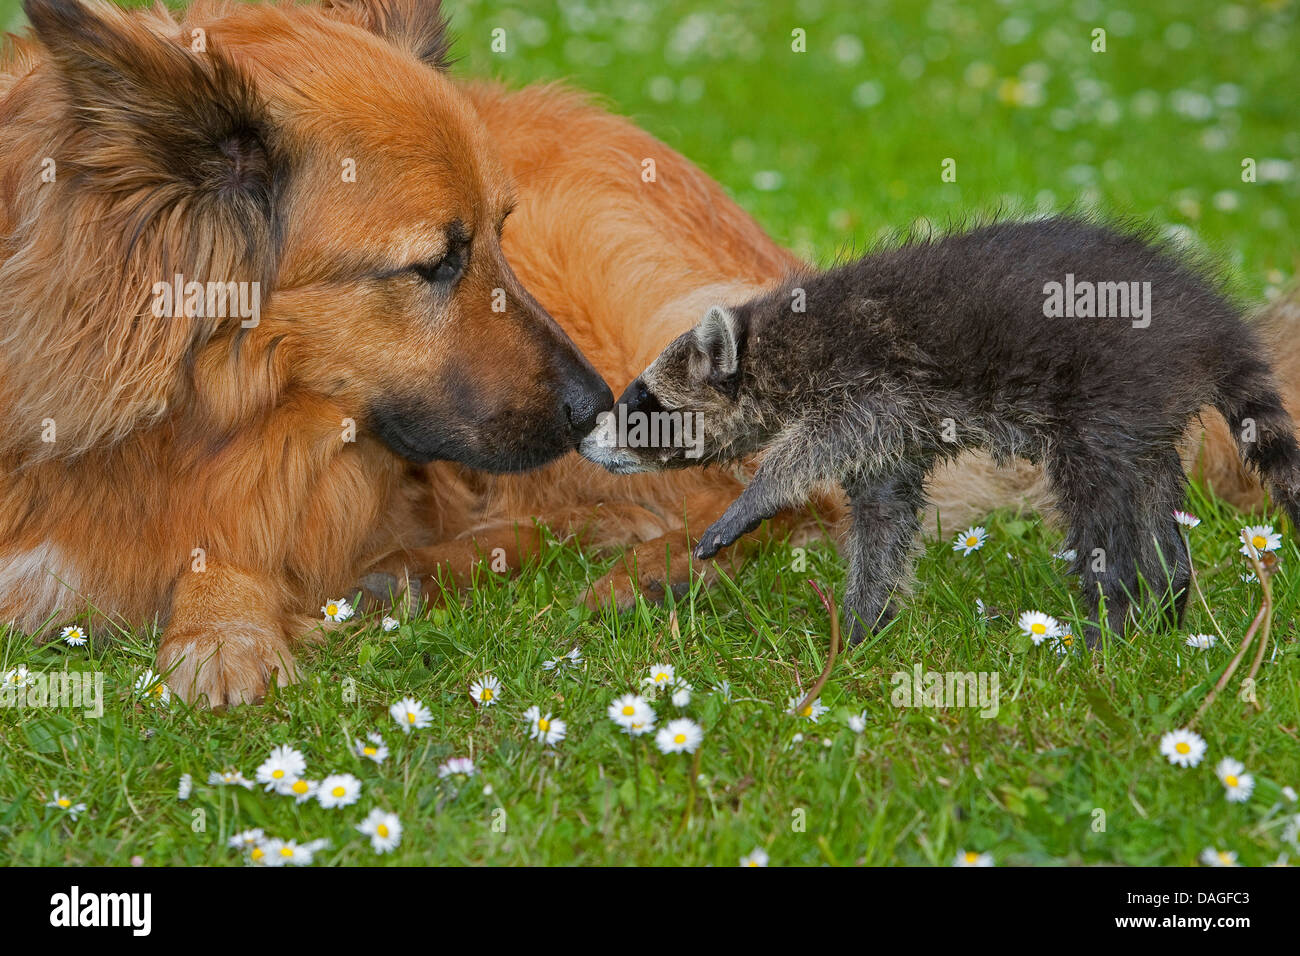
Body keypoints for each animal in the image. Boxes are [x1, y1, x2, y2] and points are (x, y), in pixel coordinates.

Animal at [579, 217, 1300, 646]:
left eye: (644, 402)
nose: (585, 439)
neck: (775, 343)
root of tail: (1208, 325)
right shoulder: (892, 432)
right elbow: (882, 516)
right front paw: (863, 624)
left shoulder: (871, 384)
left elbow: (821, 445)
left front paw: (759, 493)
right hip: (1143, 409)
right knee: (1151, 489)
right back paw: (1171, 596)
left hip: (1106, 388)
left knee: (1098, 504)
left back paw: (1110, 616)